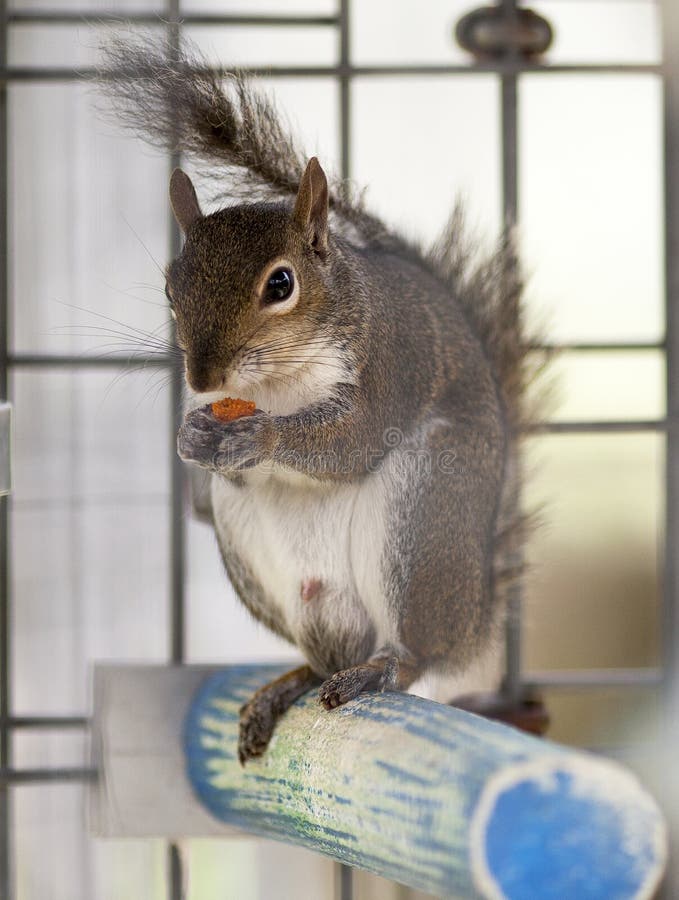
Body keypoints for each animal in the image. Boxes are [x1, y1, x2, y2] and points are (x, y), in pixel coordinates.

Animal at [100, 34, 537, 764]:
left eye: (281, 284)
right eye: (169, 288)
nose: (203, 378)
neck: (273, 384)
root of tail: (474, 619)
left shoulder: (389, 363)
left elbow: (353, 440)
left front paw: (264, 438)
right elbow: (204, 470)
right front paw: (190, 437)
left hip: (425, 506)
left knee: (412, 653)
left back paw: (382, 669)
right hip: (277, 577)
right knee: (320, 649)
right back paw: (290, 683)